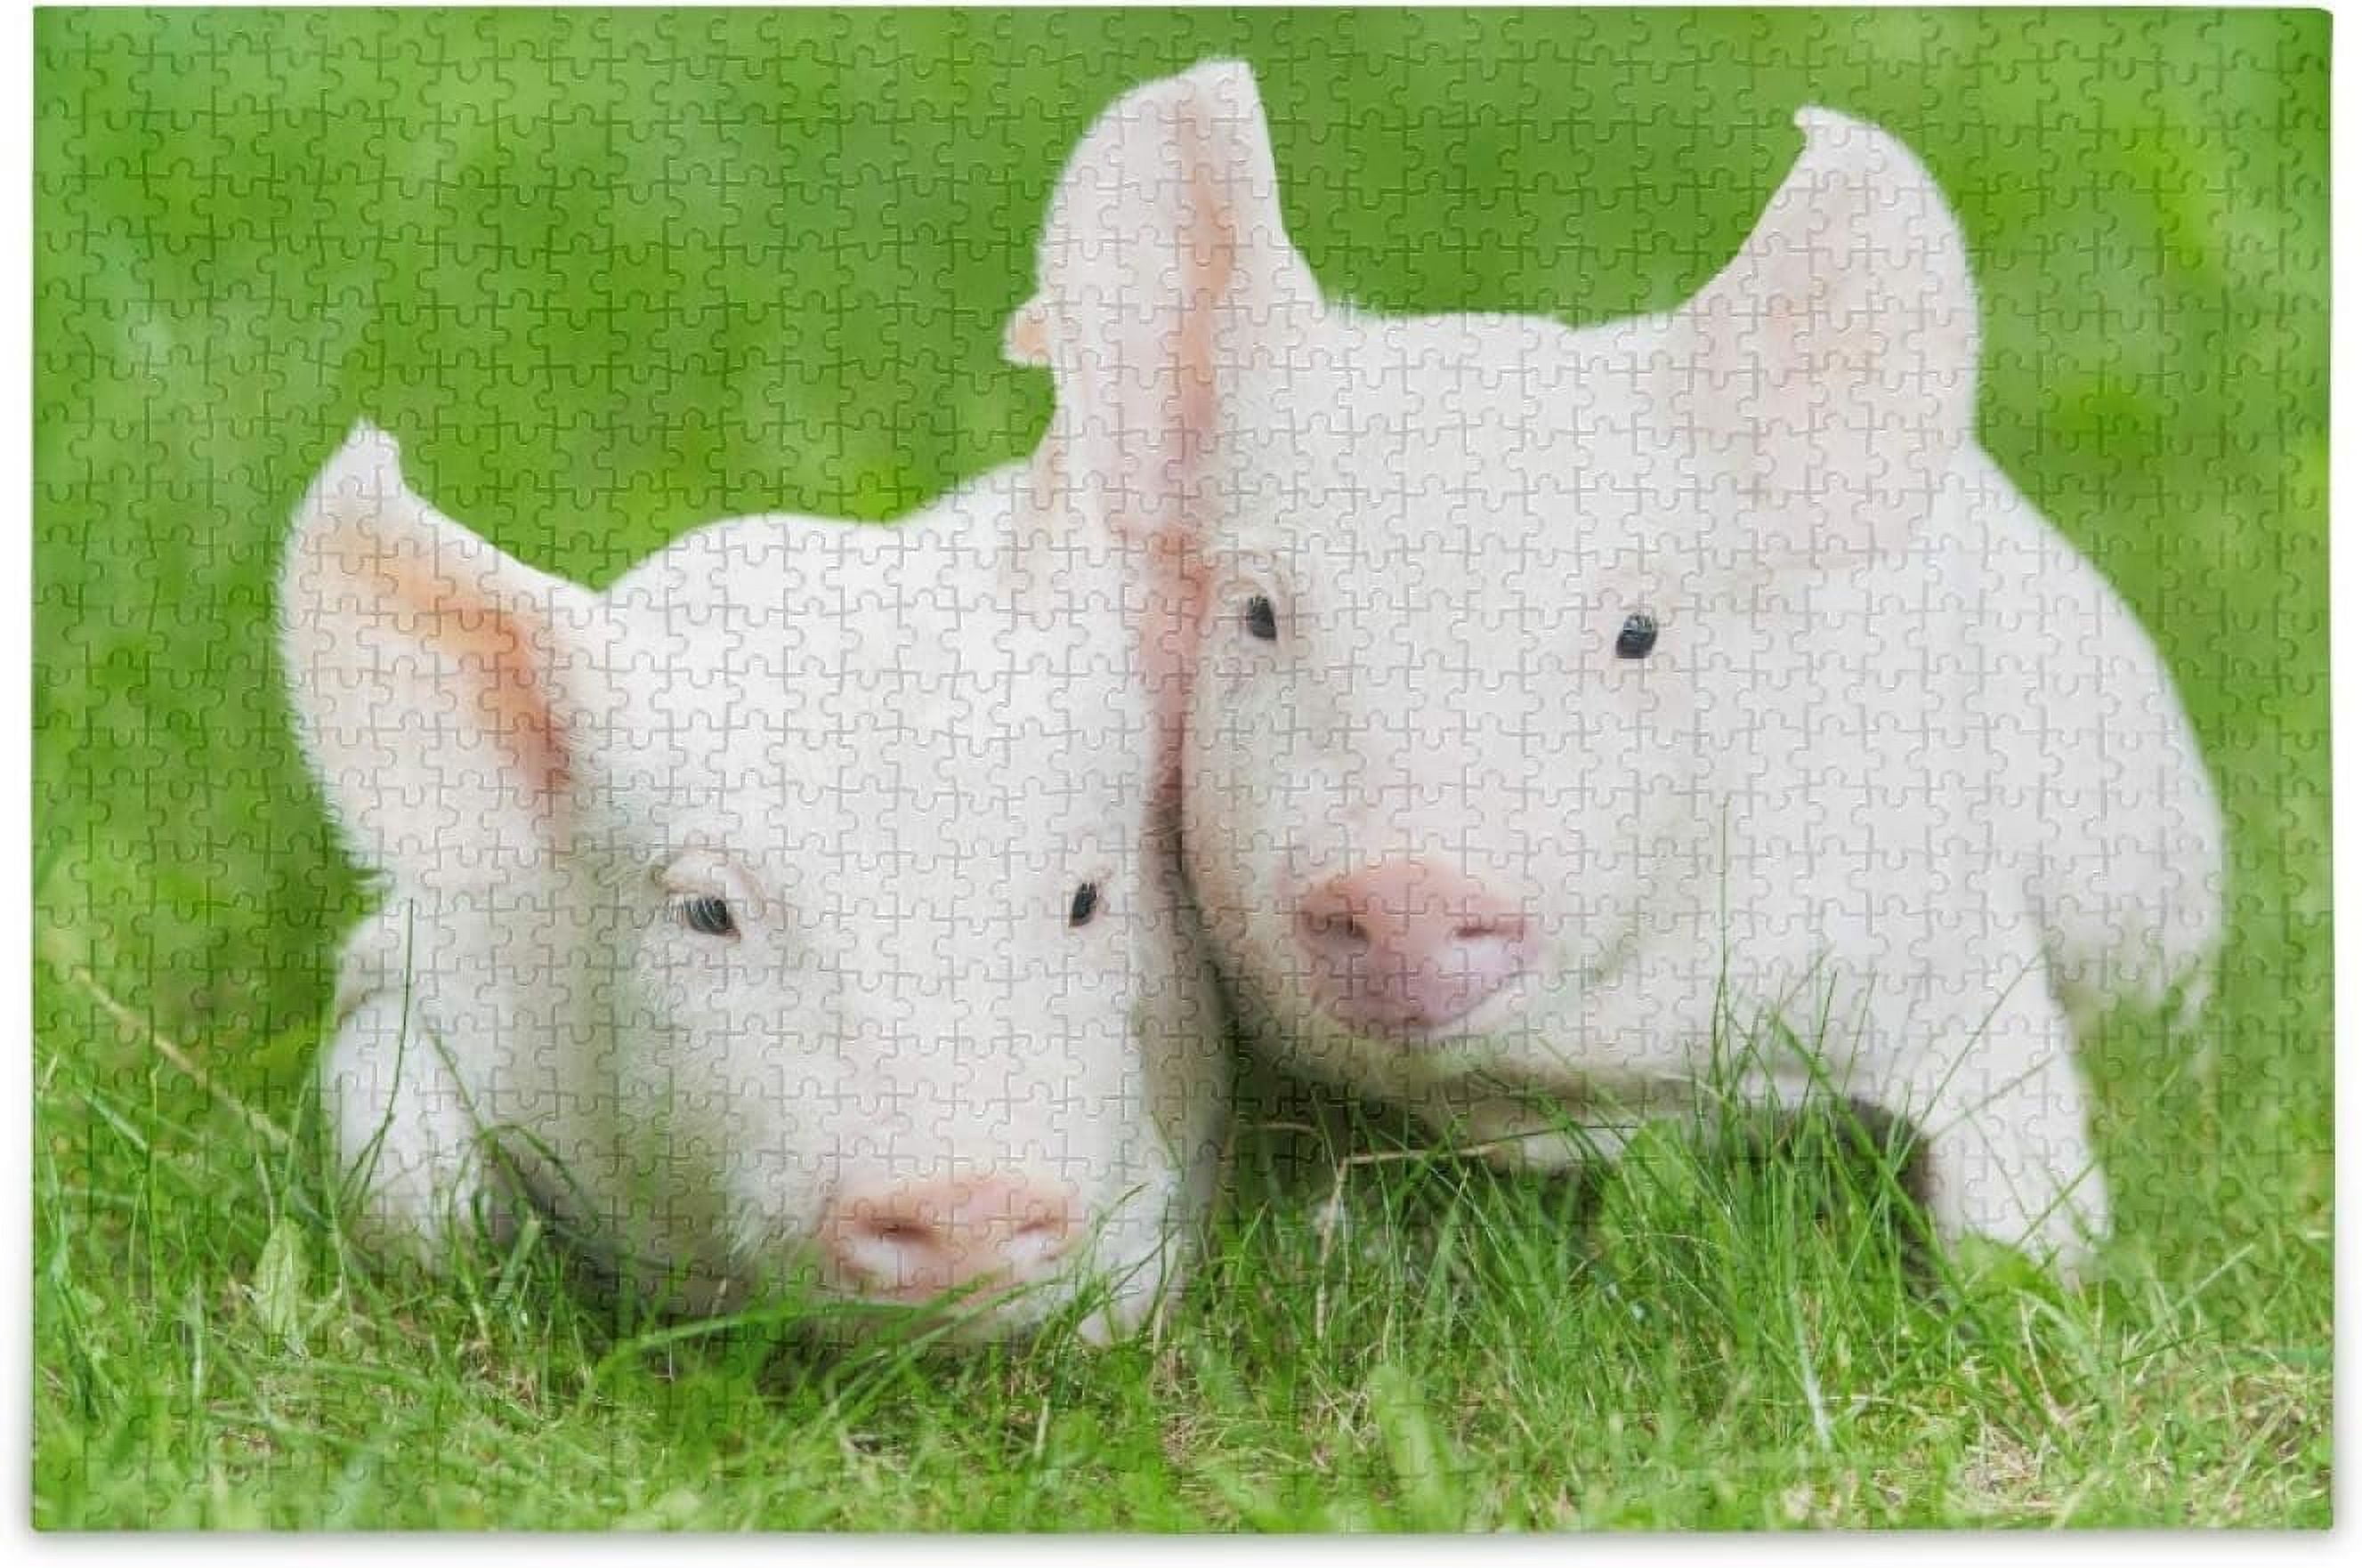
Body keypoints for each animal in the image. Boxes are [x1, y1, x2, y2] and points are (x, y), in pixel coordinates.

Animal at [1008, 61, 2224, 1279]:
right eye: (1258, 613)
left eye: (1637, 631)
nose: (1406, 887)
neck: (1581, 1091)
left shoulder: (1950, 933)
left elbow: (2015, 1157)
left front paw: (2034, 1276)